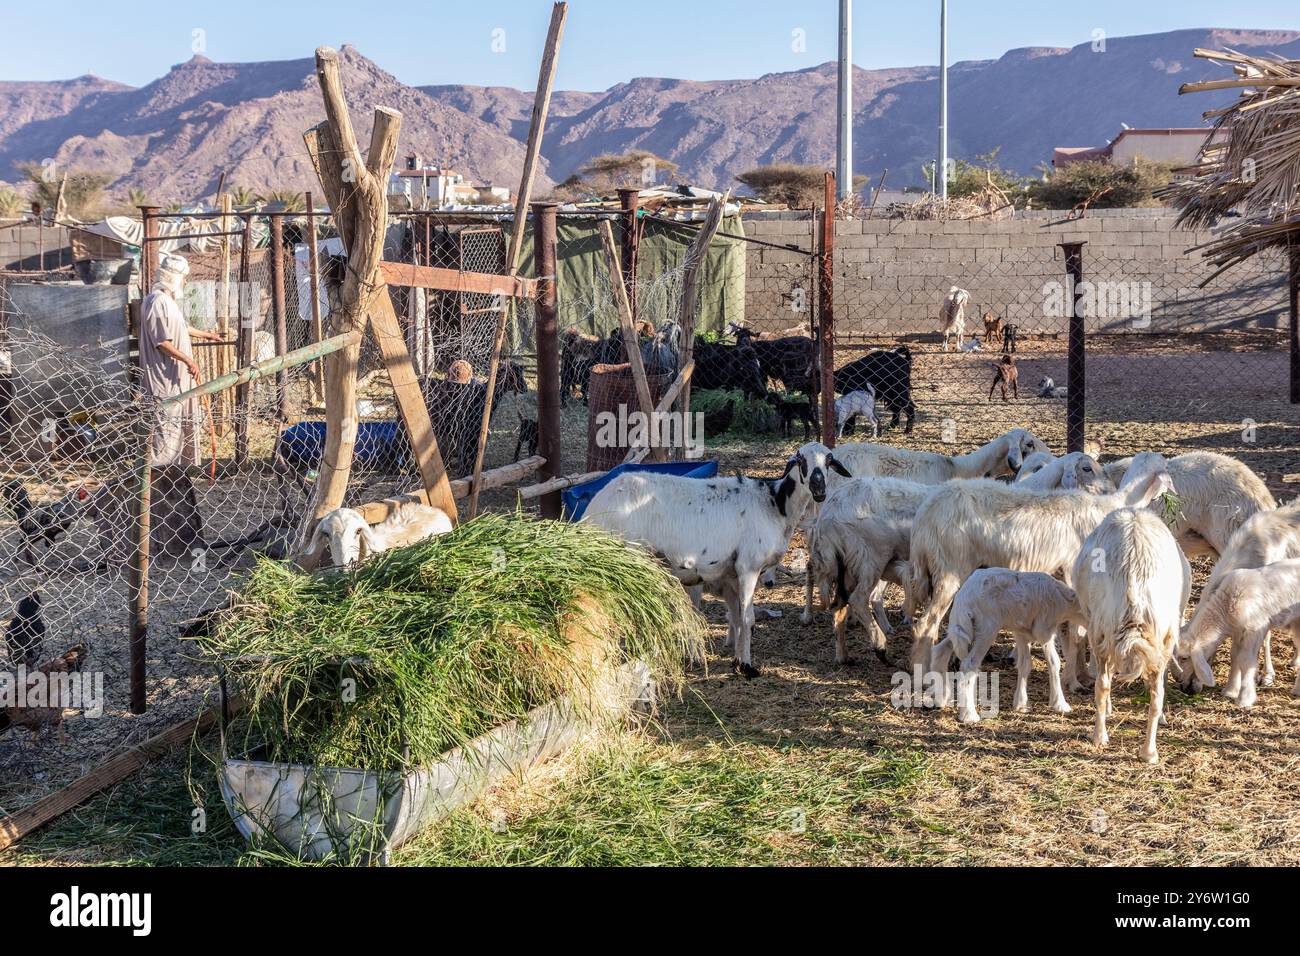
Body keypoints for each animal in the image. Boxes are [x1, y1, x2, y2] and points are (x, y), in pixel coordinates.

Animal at [583, 442, 851, 677]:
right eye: (801, 460)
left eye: (829, 460)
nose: (819, 488)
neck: (775, 505)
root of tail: (593, 508)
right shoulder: (748, 567)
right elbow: (748, 619)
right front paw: (747, 667)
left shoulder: (732, 574)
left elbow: (736, 617)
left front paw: (737, 660)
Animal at [930, 570, 1085, 723]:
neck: (1063, 600)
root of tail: (964, 597)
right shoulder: (1044, 629)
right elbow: (1054, 663)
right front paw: (1060, 704)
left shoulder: (1022, 633)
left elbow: (1025, 664)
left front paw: (1021, 704)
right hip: (986, 628)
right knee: (969, 664)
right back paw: (969, 715)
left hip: (961, 626)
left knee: (941, 651)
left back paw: (941, 698)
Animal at [1073, 507, 1191, 764]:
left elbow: (1102, 683)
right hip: (1159, 638)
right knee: (1156, 693)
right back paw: (1149, 751)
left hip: (1104, 629)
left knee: (1105, 683)